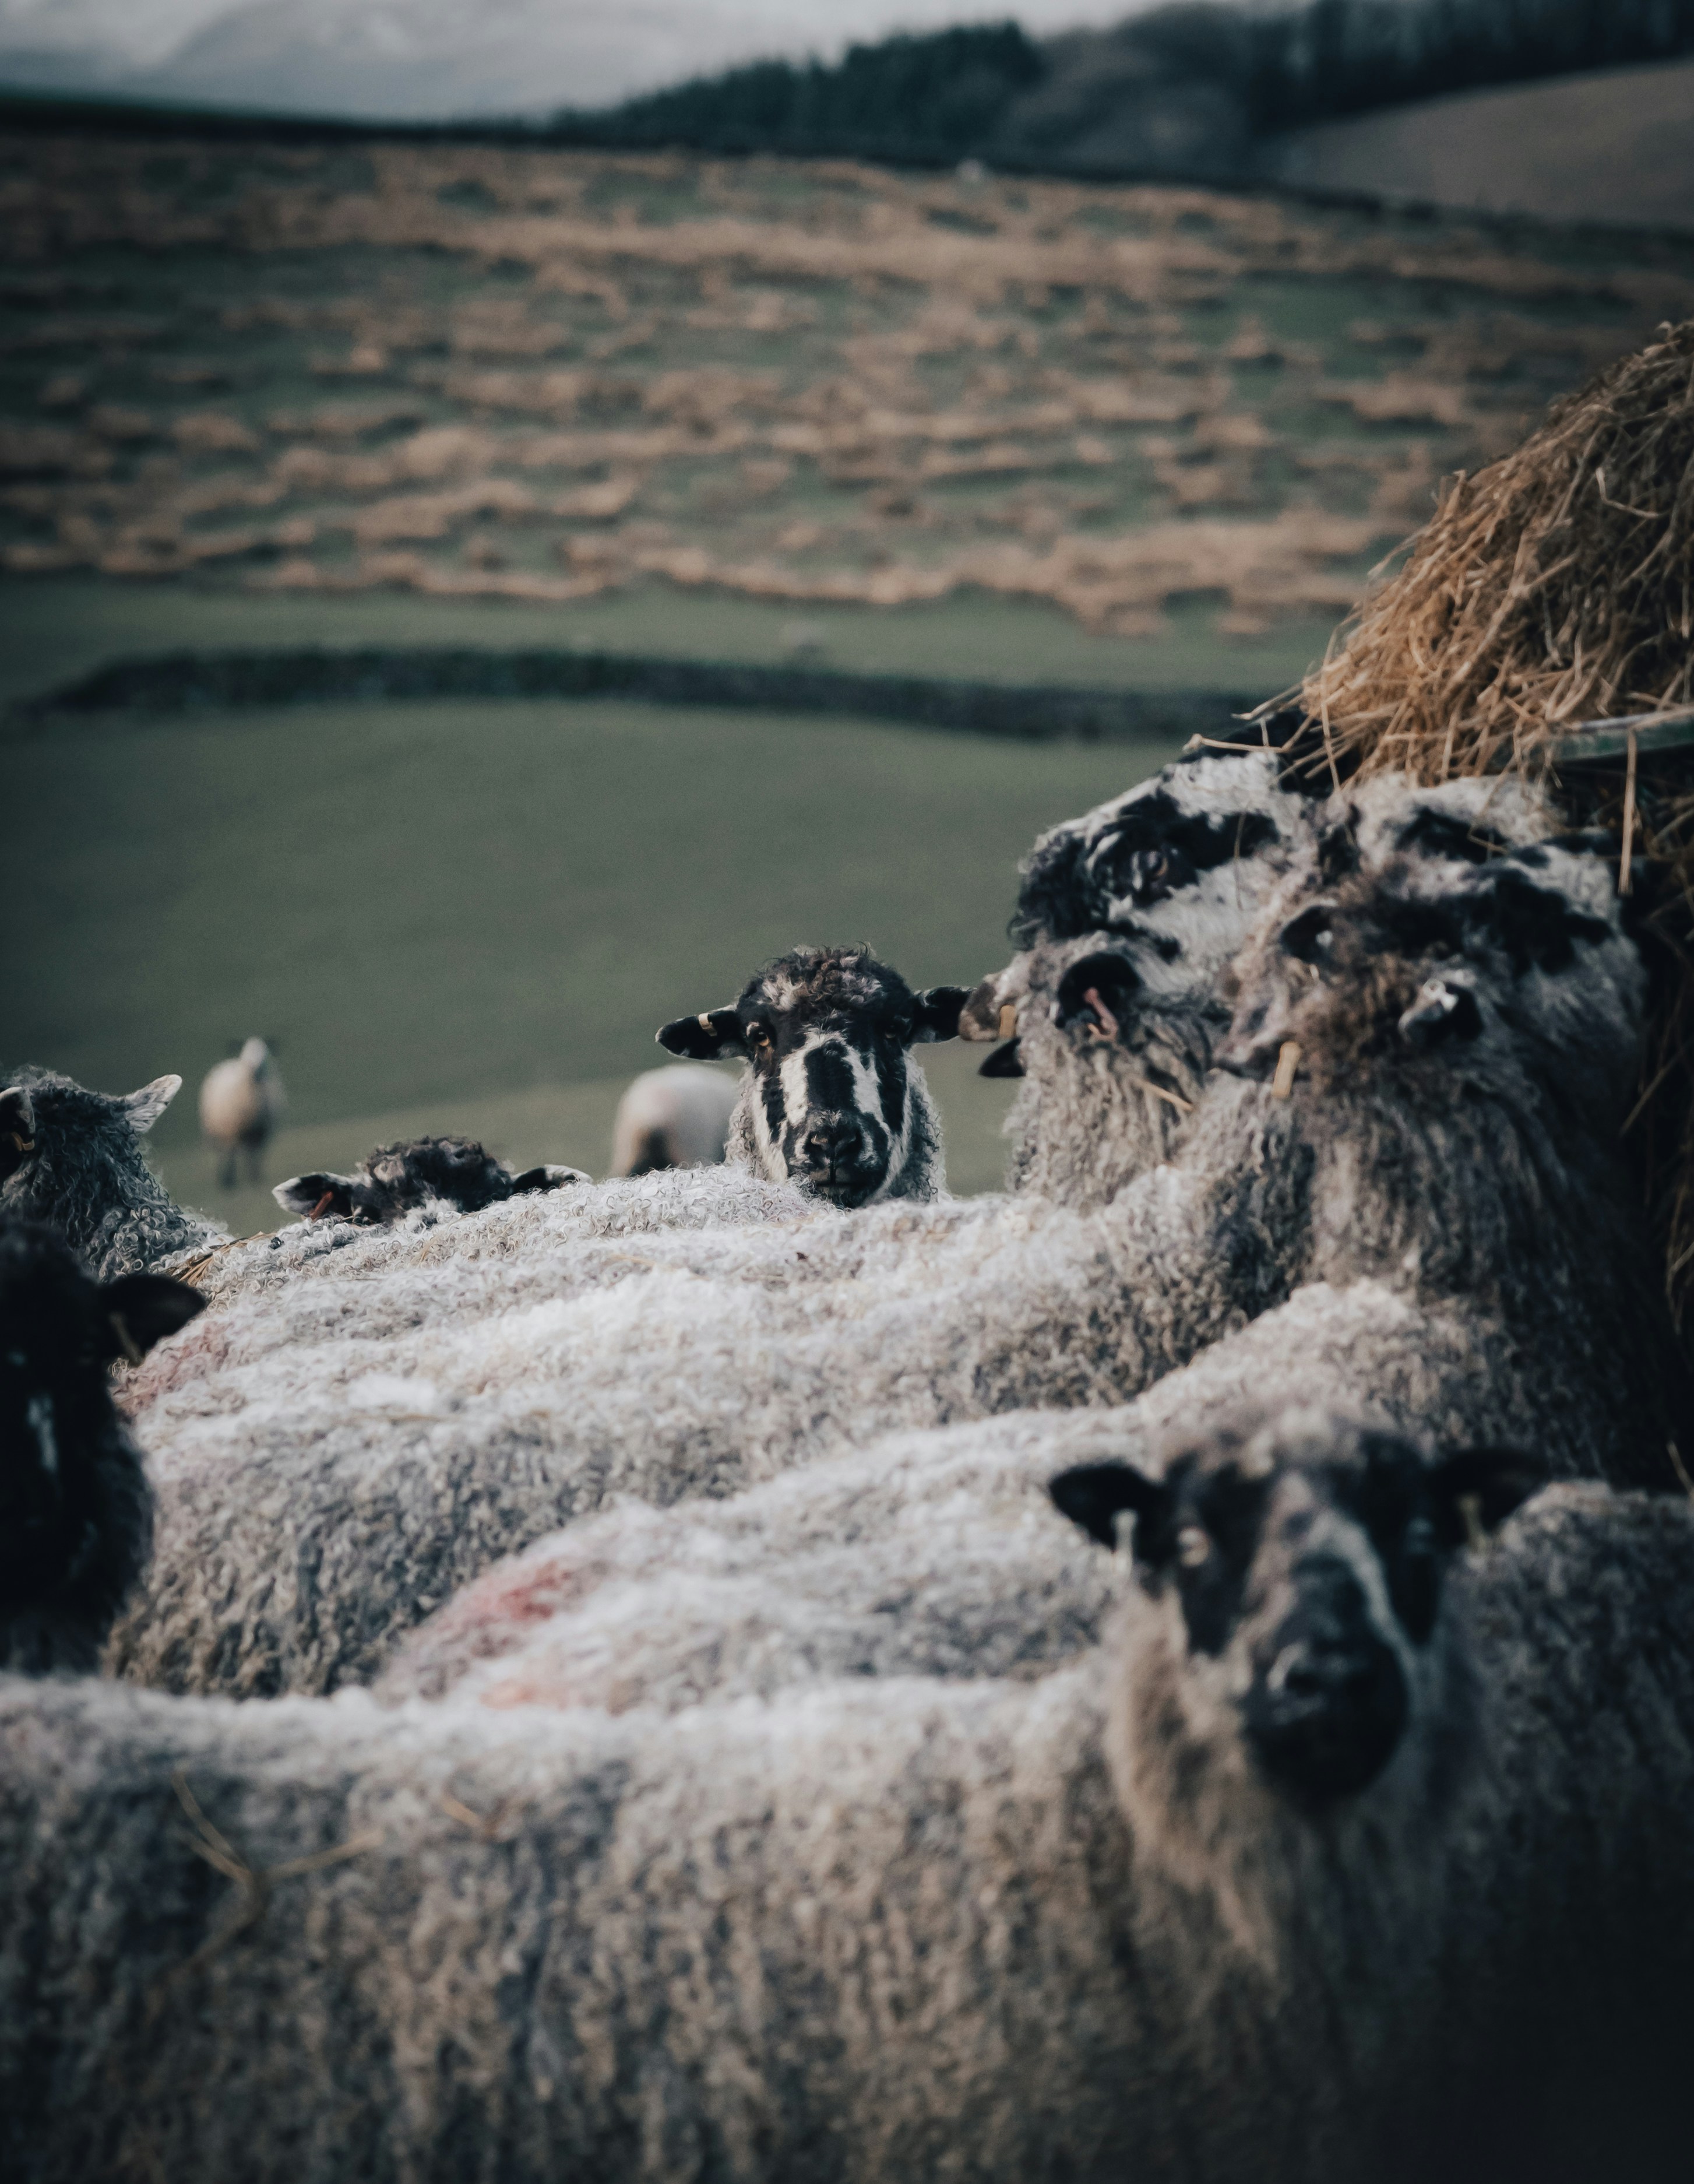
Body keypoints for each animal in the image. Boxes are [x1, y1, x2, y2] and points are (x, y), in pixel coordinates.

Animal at [198, 1038, 285, 1189]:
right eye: (246, 1050)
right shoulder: (233, 1133)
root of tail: (228, 1062)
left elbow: (256, 1158)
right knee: (222, 1155)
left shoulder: (262, 1134)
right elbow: (235, 1158)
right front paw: (230, 1182)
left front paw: (255, 1178)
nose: (255, 1068)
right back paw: (224, 1179)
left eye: (265, 1050)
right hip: (215, 1131)